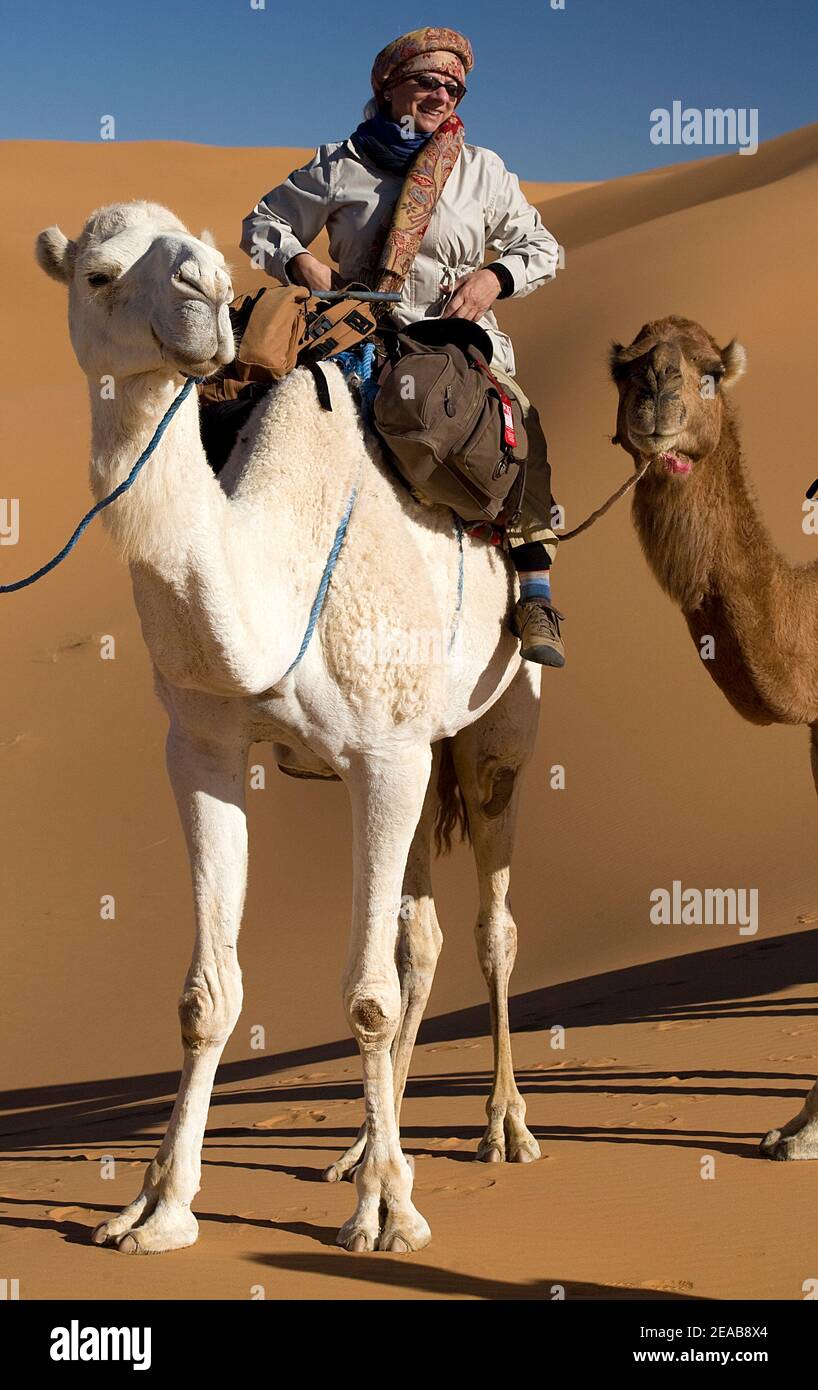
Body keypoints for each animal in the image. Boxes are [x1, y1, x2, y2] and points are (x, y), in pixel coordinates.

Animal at [34, 199, 544, 1255]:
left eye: (205, 257)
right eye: (99, 273)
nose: (206, 296)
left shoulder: (381, 756)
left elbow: (366, 994)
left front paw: (387, 1215)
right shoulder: (203, 750)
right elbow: (208, 995)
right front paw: (157, 1207)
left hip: (495, 729)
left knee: (491, 928)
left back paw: (500, 1128)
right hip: (425, 754)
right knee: (423, 937)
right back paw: (362, 1147)